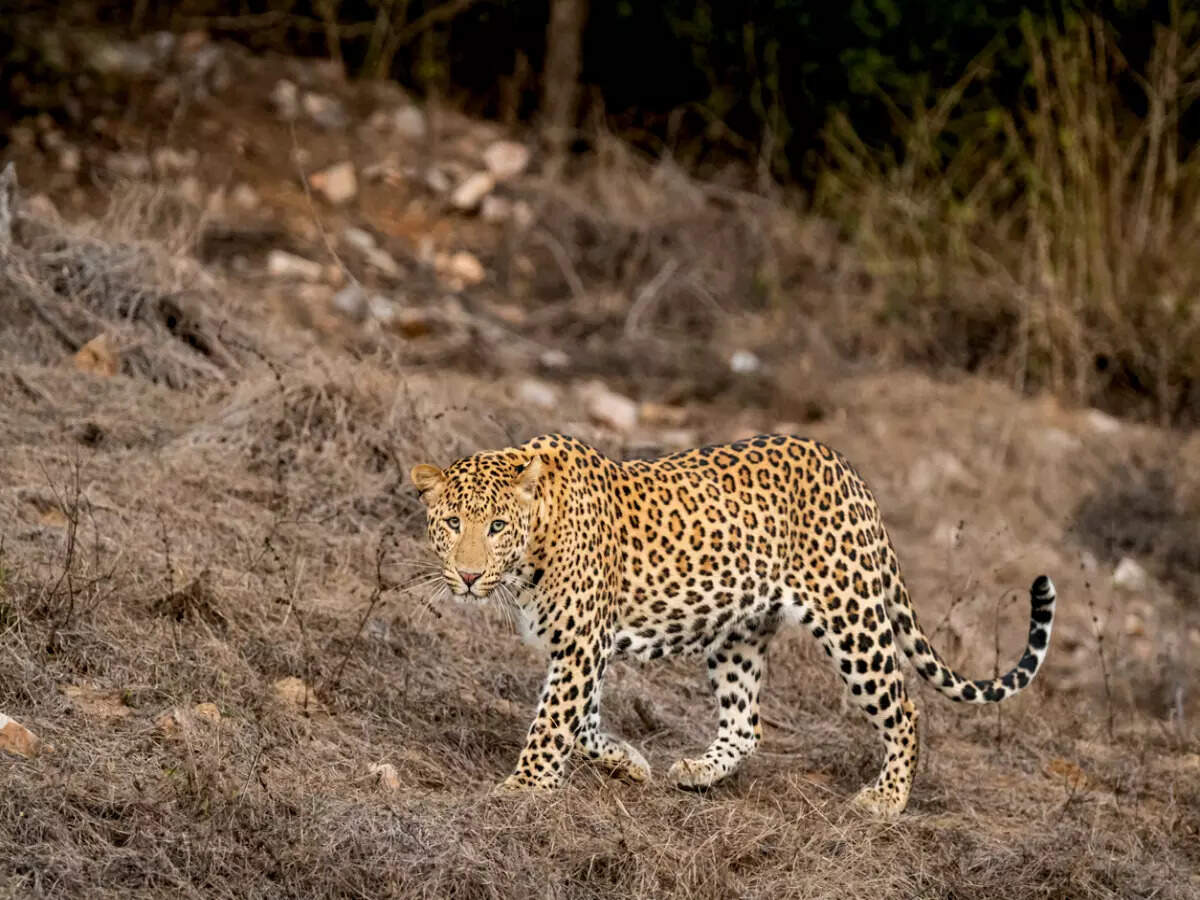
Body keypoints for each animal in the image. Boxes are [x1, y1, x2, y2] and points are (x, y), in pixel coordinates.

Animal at [410, 432, 1056, 818]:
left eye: (496, 526)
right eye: (452, 522)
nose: (467, 576)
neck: (530, 550)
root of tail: (849, 471)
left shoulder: (580, 644)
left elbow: (551, 721)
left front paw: (523, 788)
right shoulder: (581, 648)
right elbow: (583, 720)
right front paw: (627, 761)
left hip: (850, 616)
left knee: (905, 706)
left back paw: (888, 798)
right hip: (739, 630)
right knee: (747, 724)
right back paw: (699, 771)